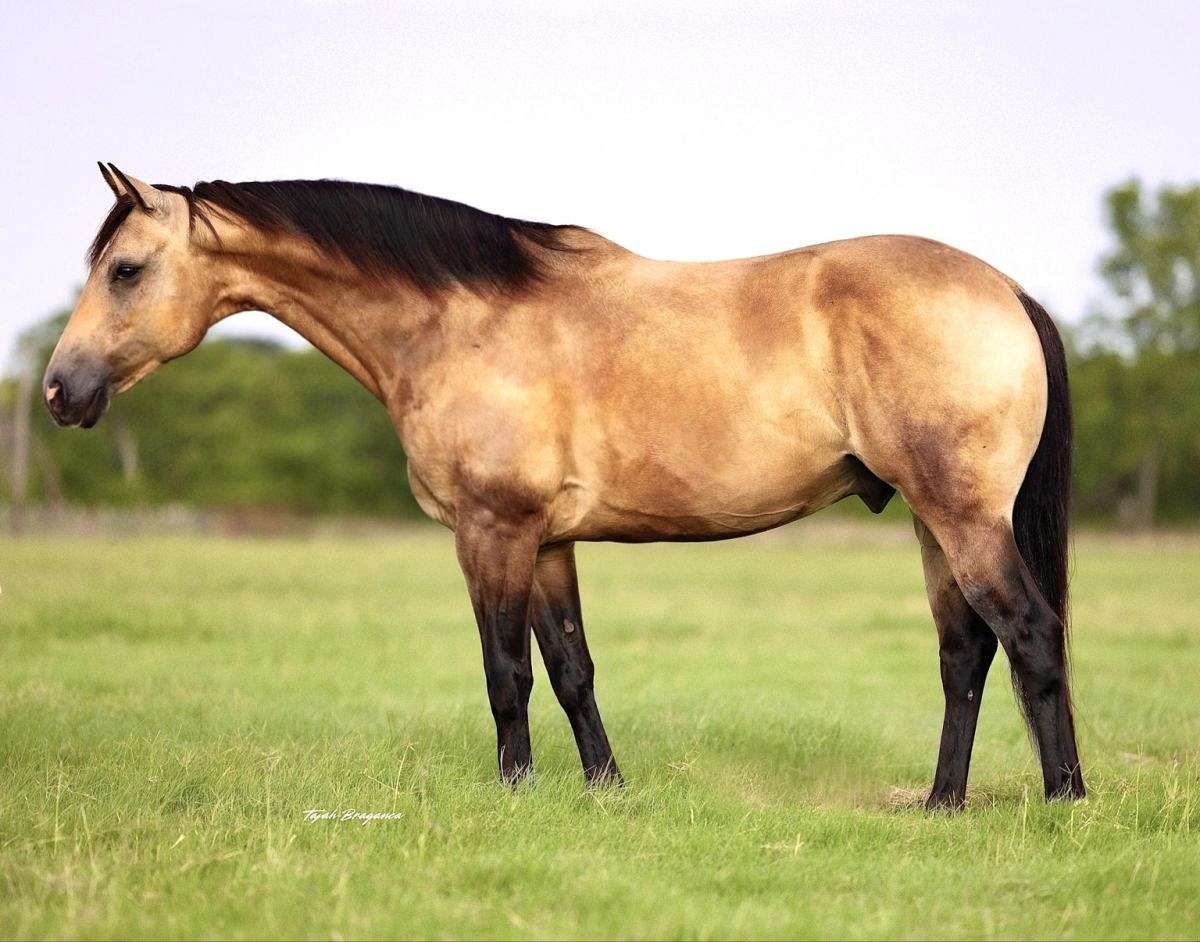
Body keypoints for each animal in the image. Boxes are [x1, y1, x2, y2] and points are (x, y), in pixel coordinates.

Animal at [44, 163, 1085, 809]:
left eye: (126, 269)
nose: (60, 389)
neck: (459, 322)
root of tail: (1005, 289)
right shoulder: (546, 542)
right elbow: (572, 668)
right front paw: (604, 789)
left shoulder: (491, 531)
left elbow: (505, 672)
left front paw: (516, 789)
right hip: (932, 521)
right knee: (965, 652)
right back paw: (942, 804)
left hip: (961, 515)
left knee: (1028, 632)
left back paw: (1064, 799)